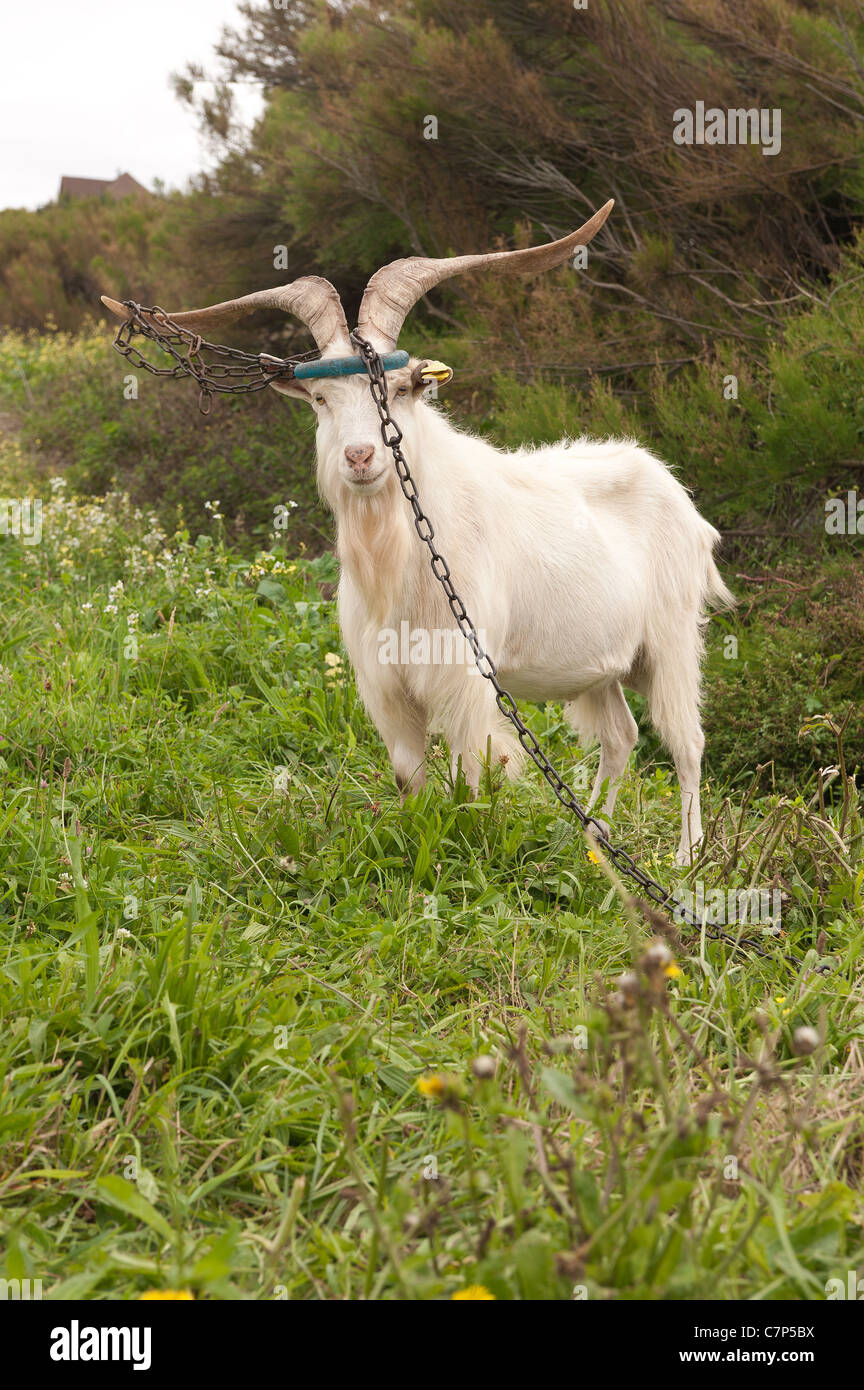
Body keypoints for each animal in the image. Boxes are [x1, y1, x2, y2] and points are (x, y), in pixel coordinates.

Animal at [103, 200, 732, 865]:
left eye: (401, 389)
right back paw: (593, 839)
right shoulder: (389, 690)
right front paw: (414, 840)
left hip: (671, 643)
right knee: (621, 736)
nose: (359, 456)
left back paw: (687, 857)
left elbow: (466, 778)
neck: (402, 565)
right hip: (600, 667)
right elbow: (410, 780)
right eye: (320, 398)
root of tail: (677, 496)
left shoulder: (465, 683)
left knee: (687, 743)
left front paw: (469, 847)